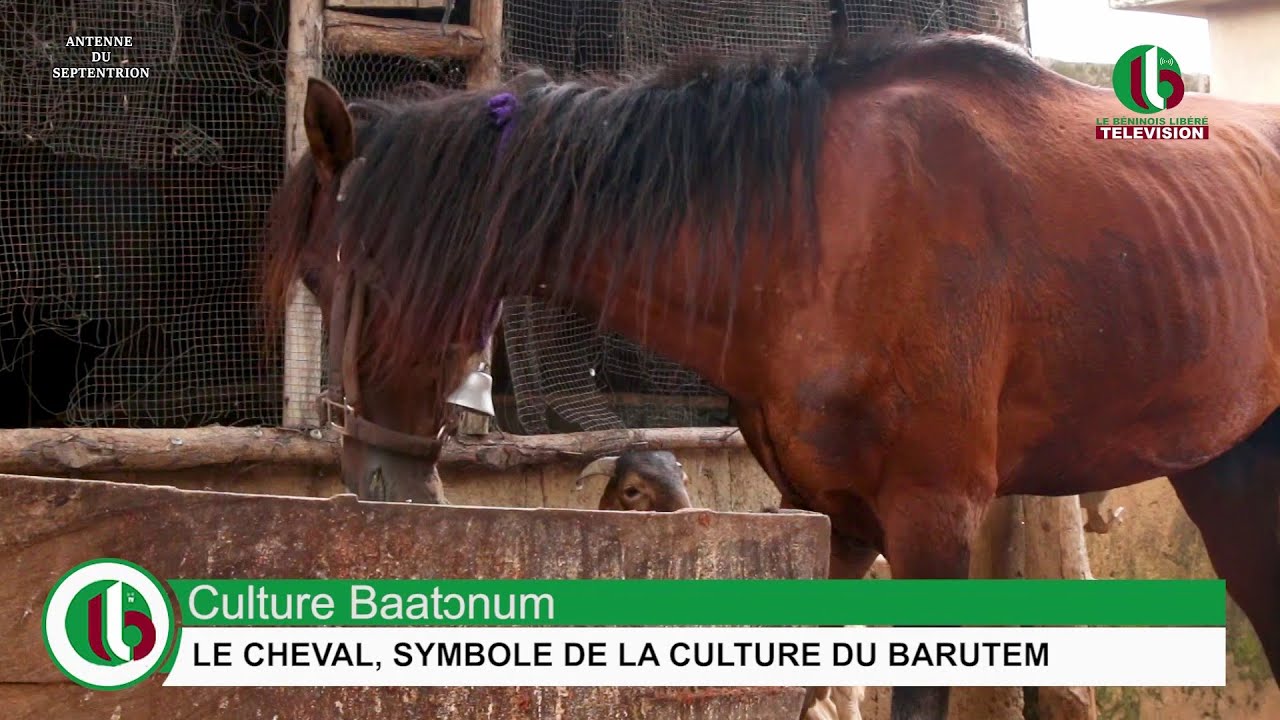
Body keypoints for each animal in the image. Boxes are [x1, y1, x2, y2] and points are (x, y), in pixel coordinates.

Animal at [261, 31, 1280, 719]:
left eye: (340, 272)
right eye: (312, 277)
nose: (375, 482)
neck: (818, 240)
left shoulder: (934, 519)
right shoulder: (829, 516)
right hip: (1227, 472)